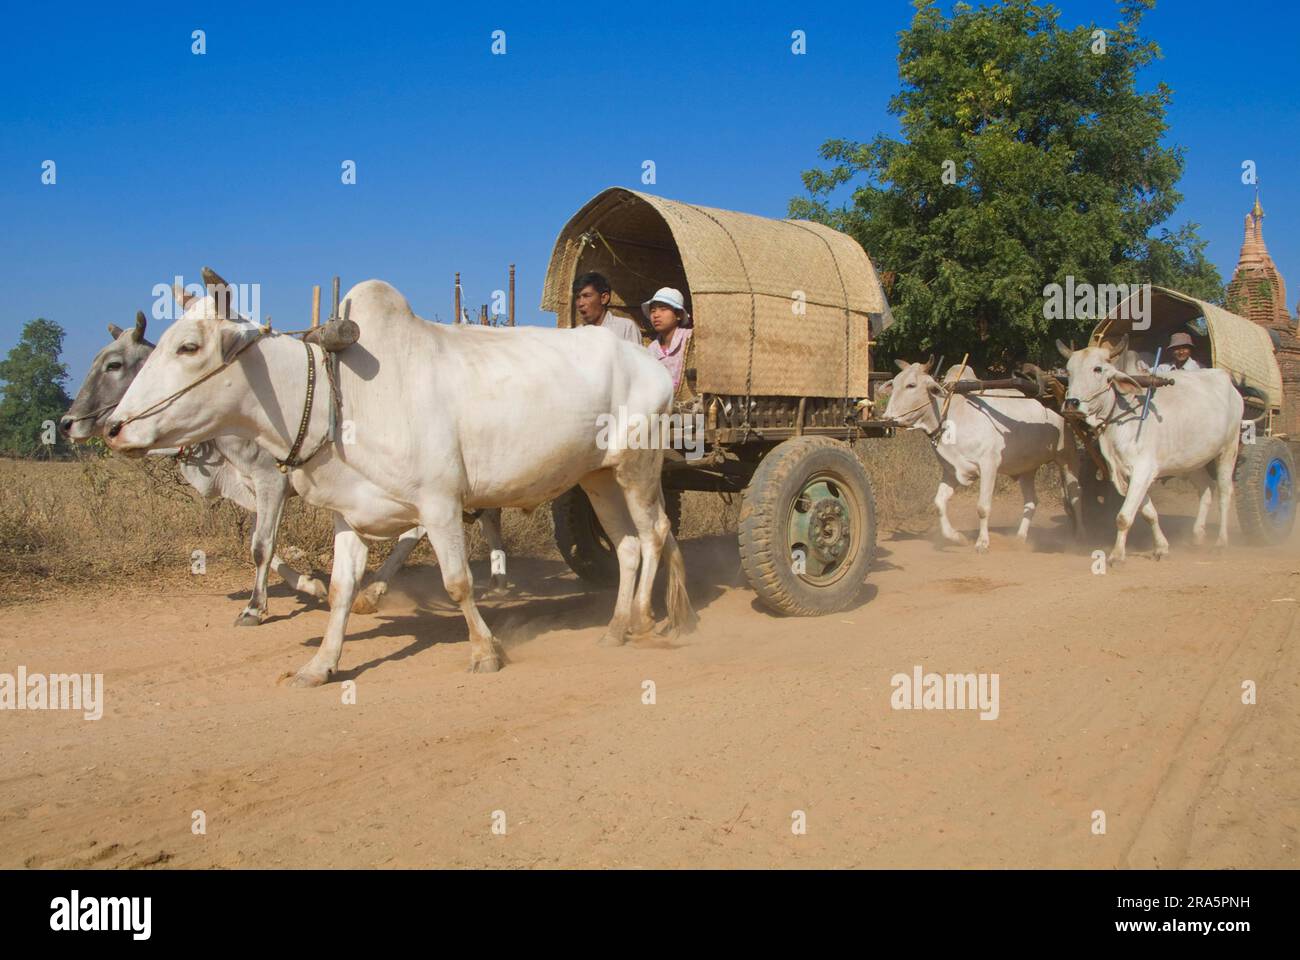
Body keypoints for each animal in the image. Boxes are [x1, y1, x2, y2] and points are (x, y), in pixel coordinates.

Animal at [62, 306, 507, 625]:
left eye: (114, 364)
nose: (68, 423)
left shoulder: (270, 483)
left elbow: (261, 546)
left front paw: (255, 608)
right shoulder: (250, 488)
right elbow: (266, 547)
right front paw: (309, 584)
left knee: (422, 528)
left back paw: (378, 590)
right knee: (485, 516)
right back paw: (497, 579)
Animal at [881, 358, 1082, 552]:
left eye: (911, 385)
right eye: (894, 383)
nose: (886, 418)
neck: (951, 415)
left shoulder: (988, 466)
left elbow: (982, 508)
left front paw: (982, 543)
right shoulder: (952, 470)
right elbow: (939, 503)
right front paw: (957, 537)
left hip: (1067, 457)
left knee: (1075, 498)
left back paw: (1080, 538)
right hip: (1027, 468)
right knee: (1032, 502)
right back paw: (1019, 538)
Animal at [1058, 336, 1242, 562]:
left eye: (1098, 369)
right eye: (1068, 371)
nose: (1071, 404)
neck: (1121, 416)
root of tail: (1227, 380)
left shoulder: (1143, 471)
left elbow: (1124, 516)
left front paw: (1117, 555)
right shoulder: (1127, 474)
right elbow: (1148, 513)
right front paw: (1161, 547)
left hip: (1228, 449)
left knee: (1225, 493)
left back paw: (1221, 543)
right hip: (1191, 461)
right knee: (1206, 488)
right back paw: (1198, 535)